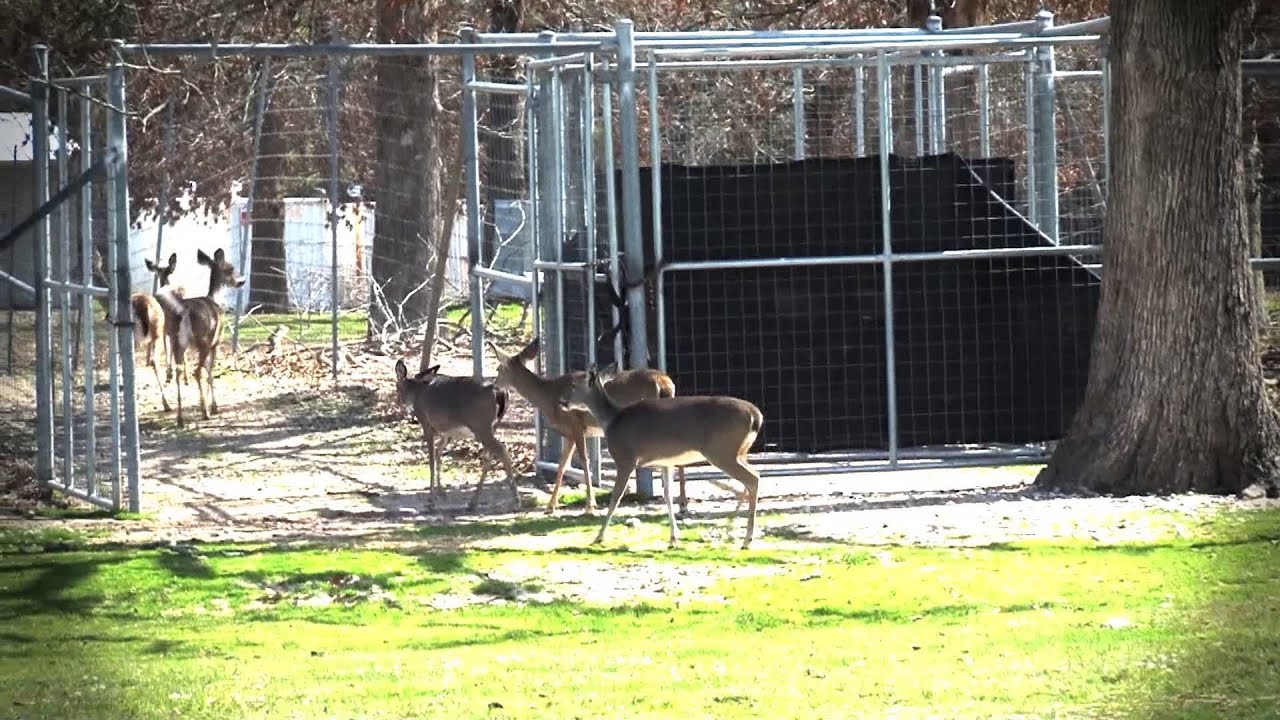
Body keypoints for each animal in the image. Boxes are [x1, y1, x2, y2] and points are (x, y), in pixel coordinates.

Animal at [151, 248, 245, 427]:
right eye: (230, 269)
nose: (241, 282)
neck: (214, 300)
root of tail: (184, 311)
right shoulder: (215, 342)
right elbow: (210, 373)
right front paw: (214, 406)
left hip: (177, 341)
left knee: (178, 372)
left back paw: (180, 419)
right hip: (203, 341)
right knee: (197, 371)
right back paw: (205, 412)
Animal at [393, 359, 520, 511]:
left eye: (396, 387)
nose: (398, 402)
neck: (415, 392)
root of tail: (500, 392)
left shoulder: (426, 423)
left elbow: (431, 460)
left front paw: (431, 500)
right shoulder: (447, 432)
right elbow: (438, 454)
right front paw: (441, 493)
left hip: (480, 425)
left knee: (501, 449)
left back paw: (516, 500)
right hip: (491, 426)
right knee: (489, 455)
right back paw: (473, 502)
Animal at [490, 337, 696, 516]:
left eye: (499, 368)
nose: (494, 386)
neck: (549, 396)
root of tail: (665, 384)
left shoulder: (576, 424)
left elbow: (584, 462)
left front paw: (590, 505)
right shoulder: (569, 433)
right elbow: (562, 465)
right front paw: (550, 507)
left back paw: (681, 504)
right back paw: (683, 505)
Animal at [561, 365, 765, 550]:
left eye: (574, 385)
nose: (563, 402)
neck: (613, 420)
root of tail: (756, 415)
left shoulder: (625, 458)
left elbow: (616, 497)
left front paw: (598, 537)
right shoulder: (666, 462)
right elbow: (667, 495)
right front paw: (674, 538)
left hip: (722, 450)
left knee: (753, 478)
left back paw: (747, 539)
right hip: (739, 451)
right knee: (752, 477)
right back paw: (734, 527)